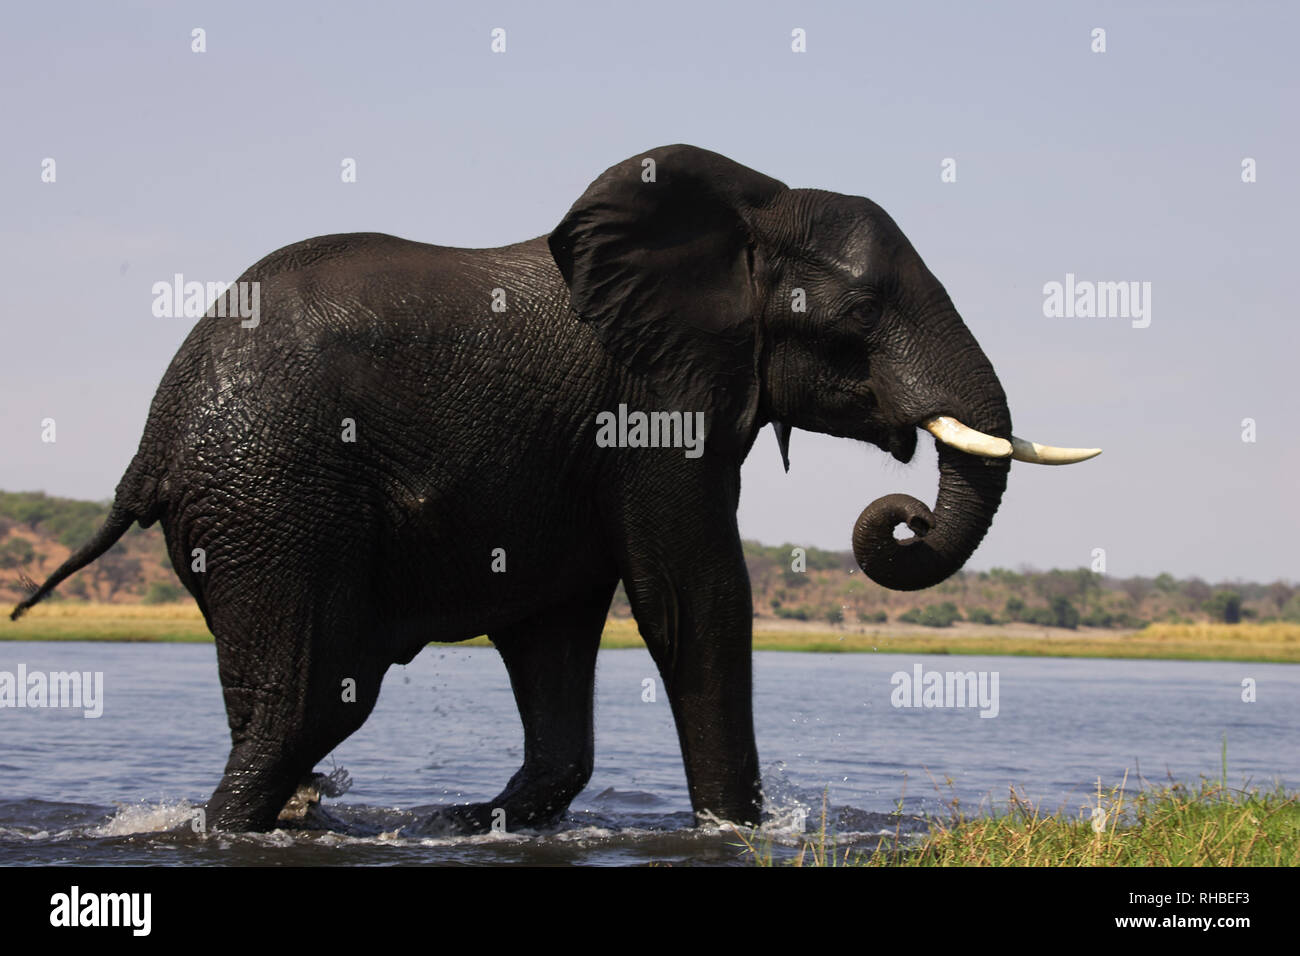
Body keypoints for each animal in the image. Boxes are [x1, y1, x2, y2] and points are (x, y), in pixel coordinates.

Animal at [11, 145, 1099, 832]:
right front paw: (740, 828)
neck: (748, 209)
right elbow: (691, 596)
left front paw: (471, 822)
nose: (899, 520)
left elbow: (558, 624)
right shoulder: (654, 398)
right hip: (274, 497)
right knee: (306, 702)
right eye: (863, 312)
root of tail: (151, 441)